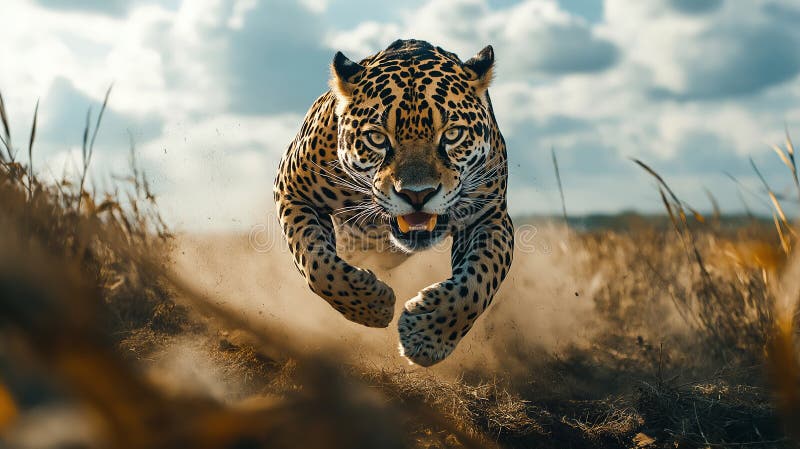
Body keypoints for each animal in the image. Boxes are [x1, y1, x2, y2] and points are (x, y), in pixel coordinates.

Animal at [273, 39, 514, 366]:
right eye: (377, 138)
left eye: (453, 134)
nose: (417, 194)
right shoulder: (292, 190)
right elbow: (316, 263)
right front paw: (373, 305)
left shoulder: (490, 216)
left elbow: (478, 282)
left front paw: (427, 336)